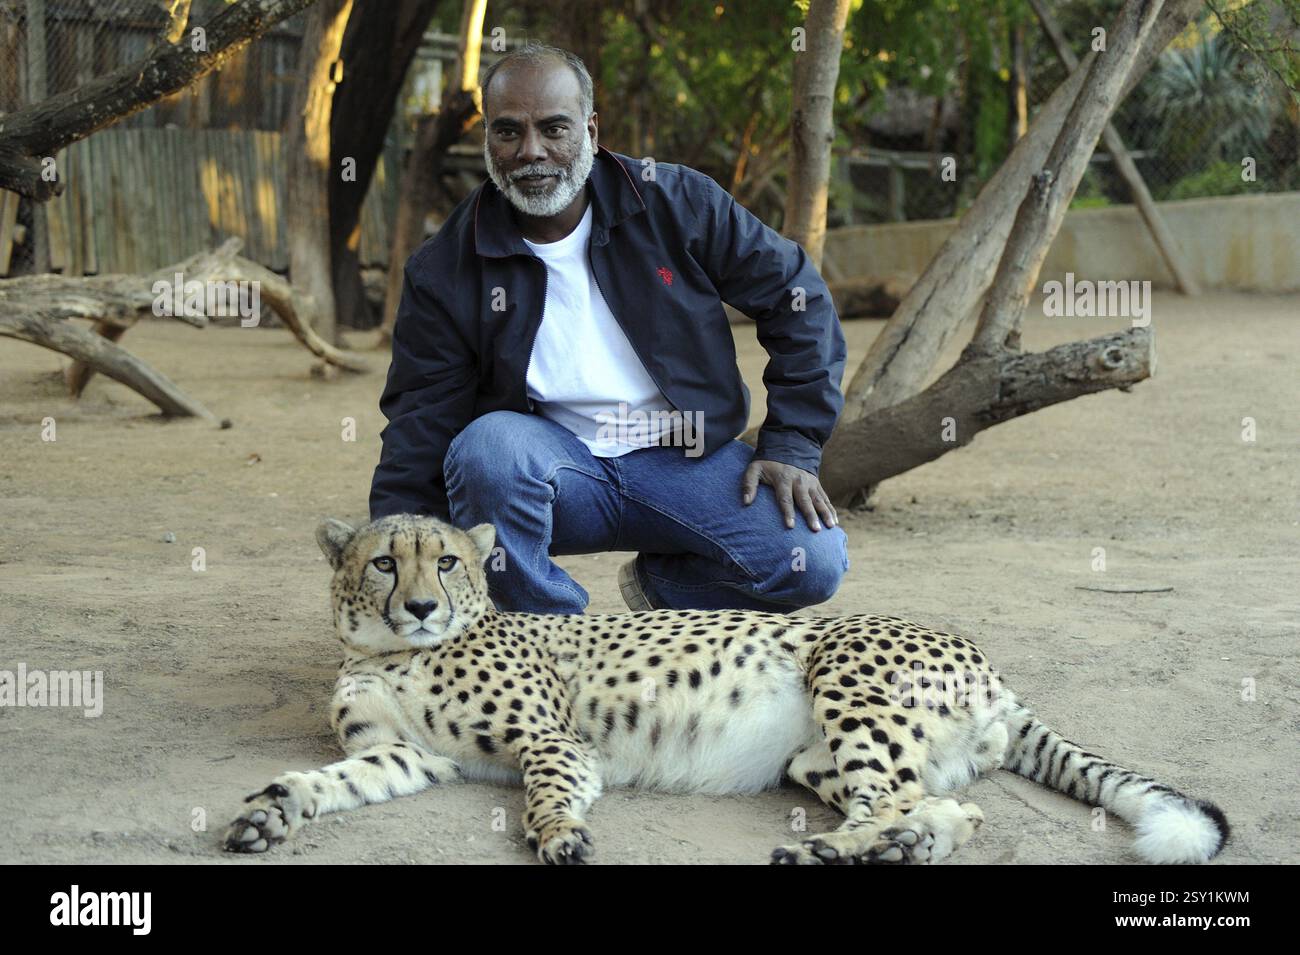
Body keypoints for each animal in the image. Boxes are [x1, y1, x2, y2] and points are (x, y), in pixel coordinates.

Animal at [222, 513, 1229, 865]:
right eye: (384, 562)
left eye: (450, 563)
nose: (424, 605)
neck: (391, 653)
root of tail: (990, 663)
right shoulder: (405, 755)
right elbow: (325, 780)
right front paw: (270, 812)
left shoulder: (553, 739)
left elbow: (546, 792)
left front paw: (560, 835)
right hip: (816, 758)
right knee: (945, 807)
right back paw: (888, 847)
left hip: (846, 676)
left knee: (910, 801)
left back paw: (829, 851)